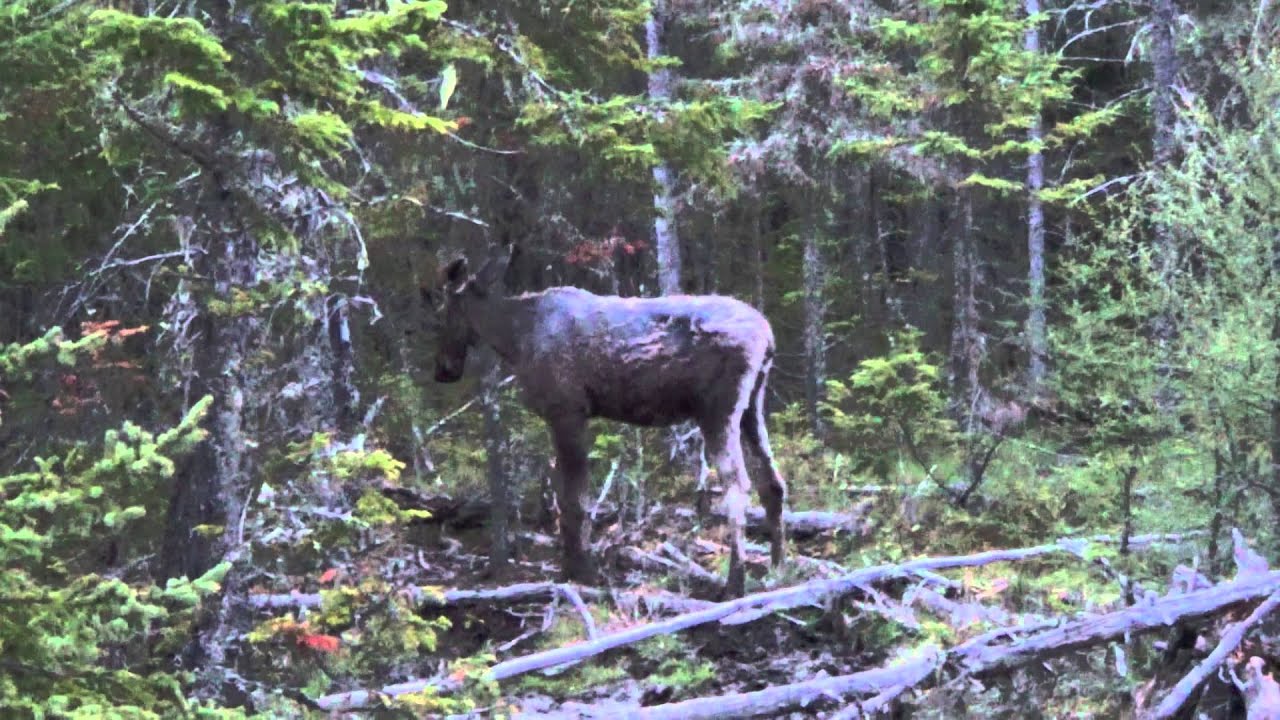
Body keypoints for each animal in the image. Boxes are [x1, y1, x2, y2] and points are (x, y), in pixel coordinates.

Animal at [430, 245, 788, 597]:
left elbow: (574, 501)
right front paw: (570, 569)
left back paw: (735, 584)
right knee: (773, 483)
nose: (443, 370)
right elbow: (566, 500)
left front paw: (583, 573)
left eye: (444, 311)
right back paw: (776, 569)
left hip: (718, 410)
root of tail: (769, 334)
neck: (515, 339)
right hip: (753, 405)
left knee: (738, 487)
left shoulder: (567, 411)